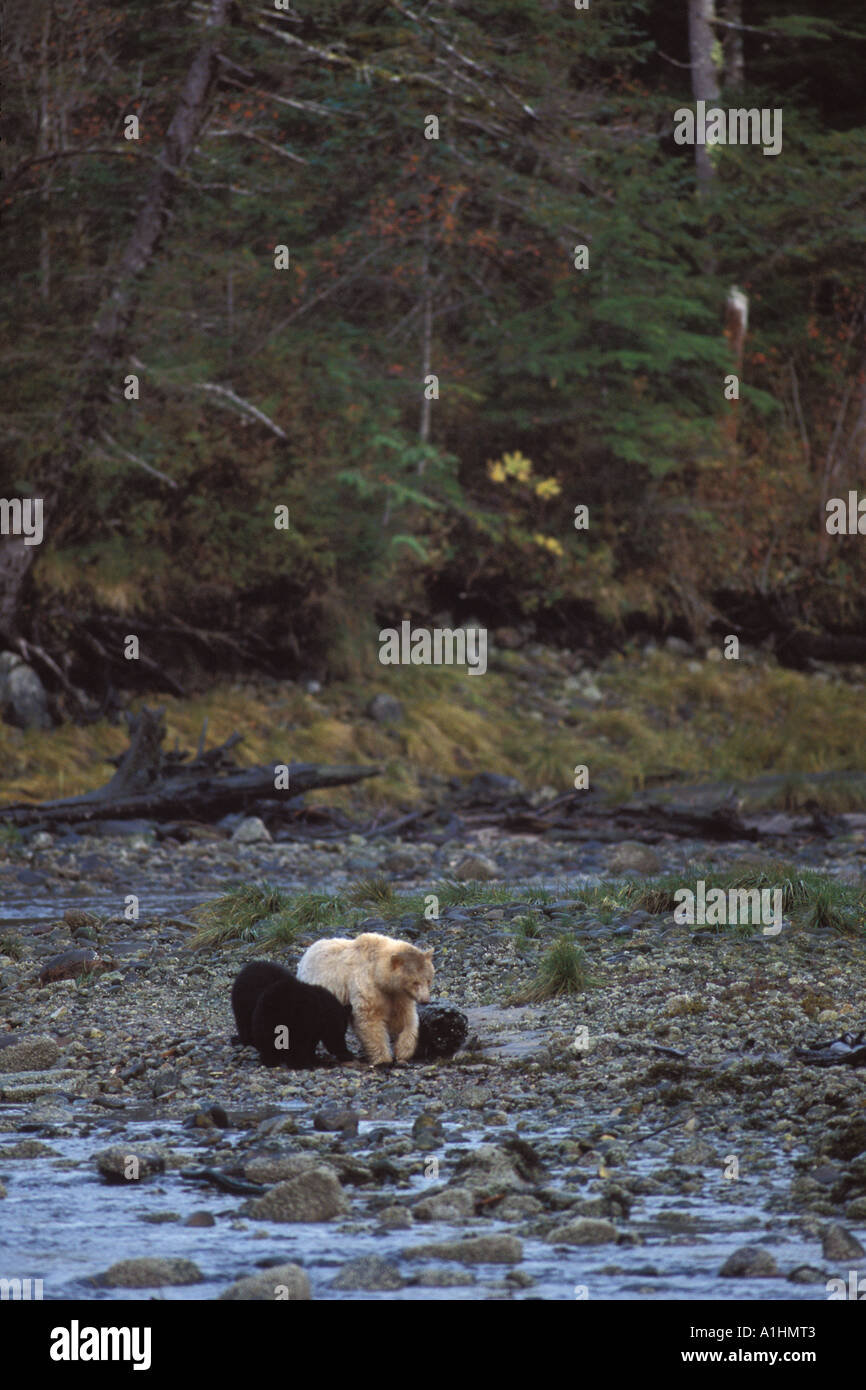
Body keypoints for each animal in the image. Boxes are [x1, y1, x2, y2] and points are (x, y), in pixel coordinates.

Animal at [297, 932, 434, 1066]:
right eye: (415, 982)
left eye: (428, 980)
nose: (425, 1000)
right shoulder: (367, 984)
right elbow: (370, 1017)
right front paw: (383, 1058)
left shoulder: (398, 995)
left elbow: (406, 1018)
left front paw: (404, 1050)